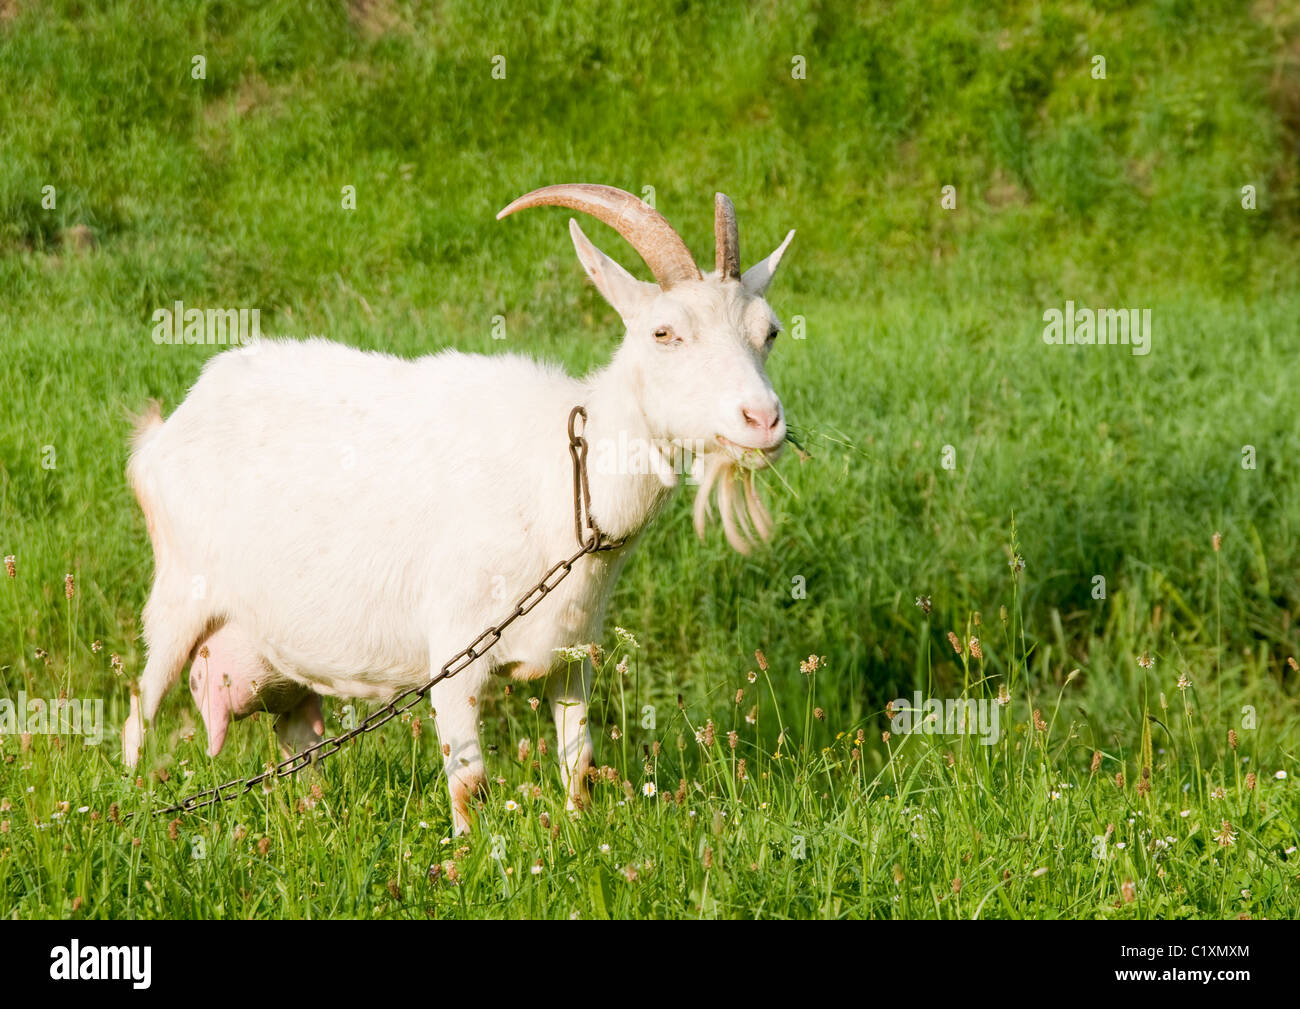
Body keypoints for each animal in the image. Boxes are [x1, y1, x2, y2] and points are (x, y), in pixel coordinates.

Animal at [122, 184, 795, 833]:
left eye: (770, 332)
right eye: (664, 333)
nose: (763, 420)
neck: (563, 481)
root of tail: (166, 429)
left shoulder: (573, 656)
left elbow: (577, 764)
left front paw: (580, 832)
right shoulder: (455, 651)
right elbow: (469, 783)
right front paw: (473, 856)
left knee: (297, 742)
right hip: (176, 601)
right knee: (139, 712)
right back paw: (128, 809)